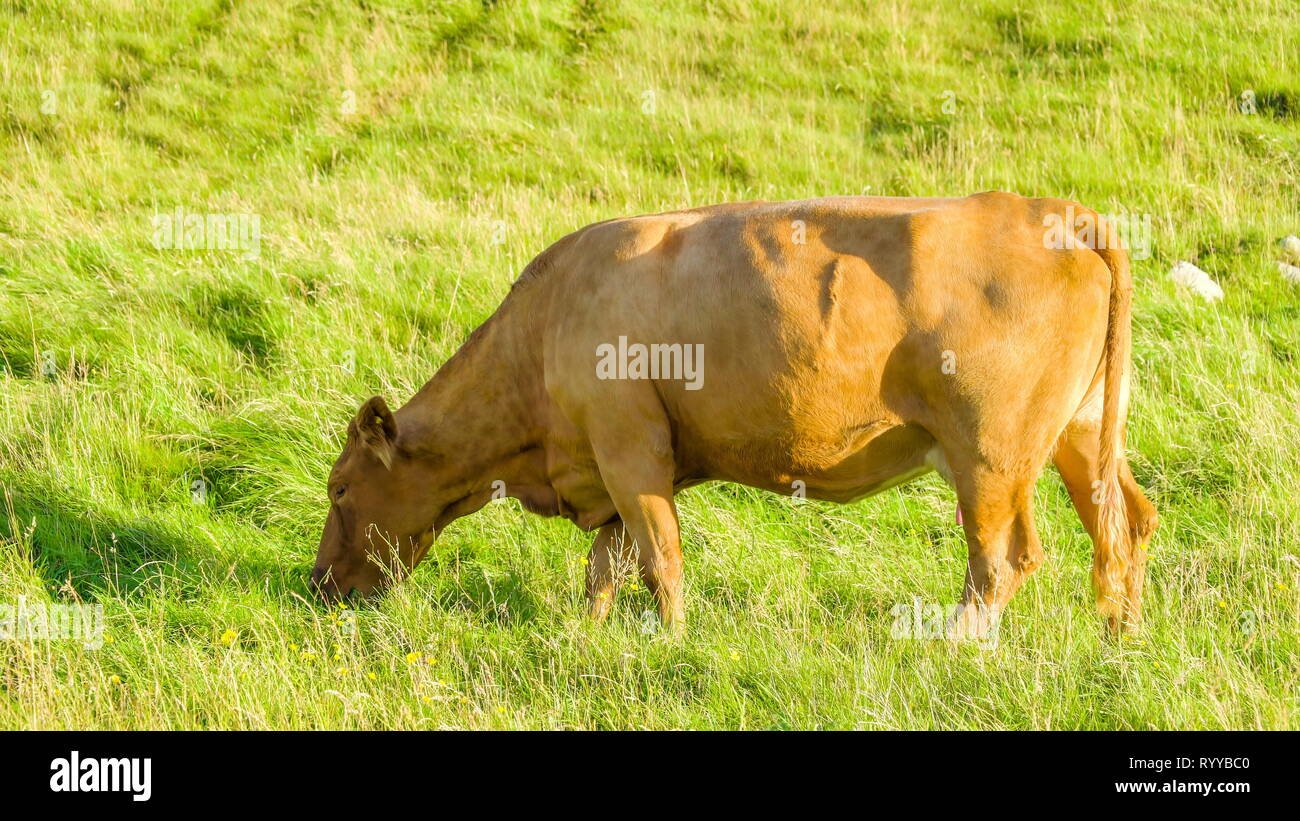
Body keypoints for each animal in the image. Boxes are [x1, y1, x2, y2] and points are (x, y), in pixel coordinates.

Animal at [310, 192, 1158, 636]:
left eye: (340, 487)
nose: (317, 582)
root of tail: (1055, 211)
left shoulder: (631, 449)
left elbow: (659, 555)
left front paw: (671, 641)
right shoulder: (607, 465)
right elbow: (606, 565)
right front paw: (589, 634)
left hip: (990, 453)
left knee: (1002, 558)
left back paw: (947, 648)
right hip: (1081, 433)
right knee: (1123, 523)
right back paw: (1116, 639)